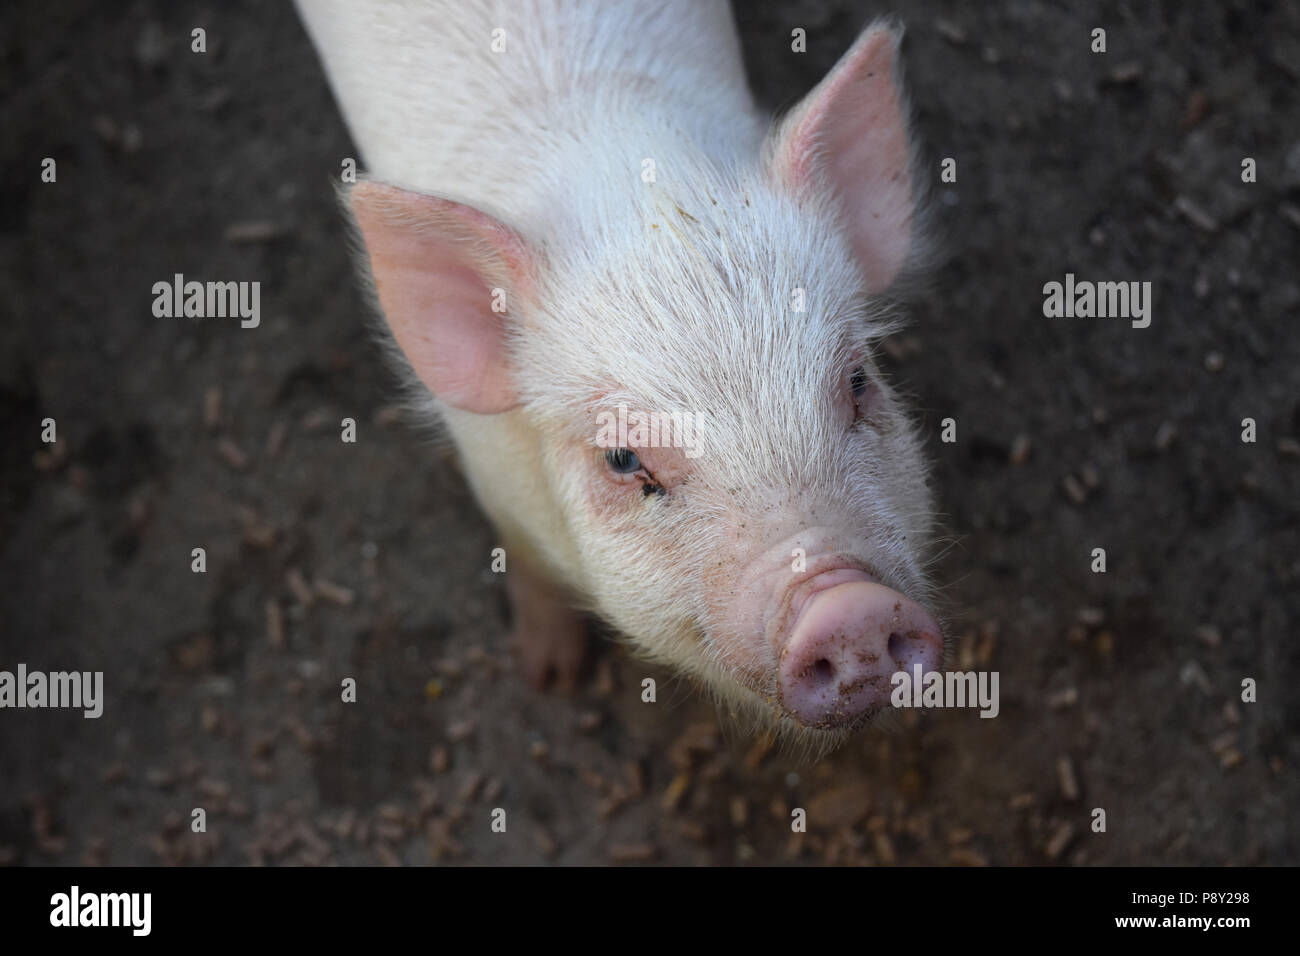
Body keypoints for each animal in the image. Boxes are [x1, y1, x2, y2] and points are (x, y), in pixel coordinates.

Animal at [295, 0, 945, 750]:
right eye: (623, 457)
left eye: (858, 381)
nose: (851, 609)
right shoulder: (495, 485)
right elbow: (531, 572)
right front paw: (548, 677)